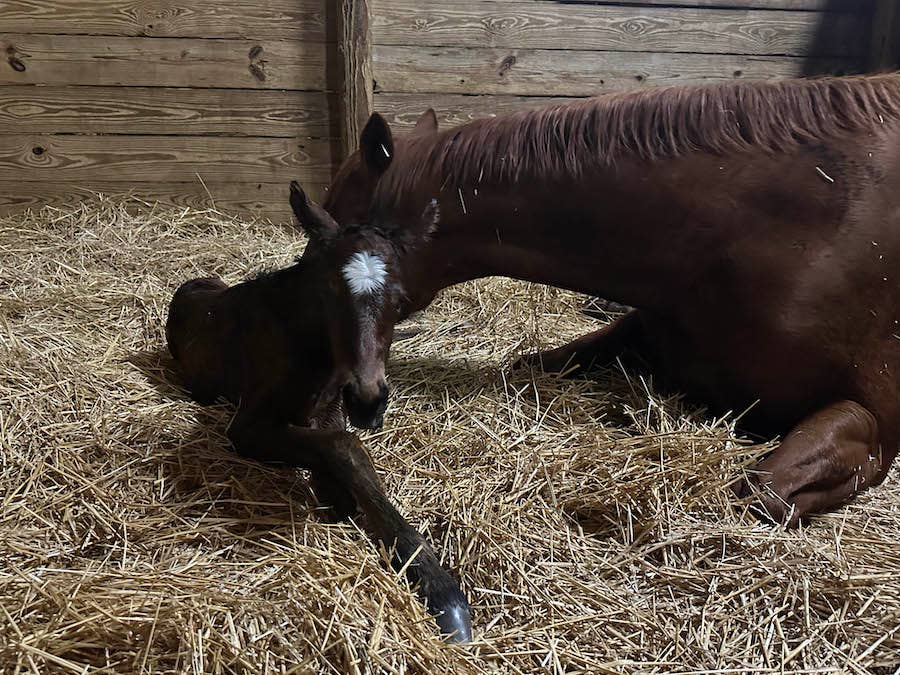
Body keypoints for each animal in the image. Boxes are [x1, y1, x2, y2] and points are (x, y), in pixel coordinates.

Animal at [164, 230, 472, 642]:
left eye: (400, 301)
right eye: (330, 294)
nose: (369, 402)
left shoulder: (330, 406)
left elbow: (339, 447)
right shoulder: (246, 426)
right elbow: (342, 446)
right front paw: (437, 586)